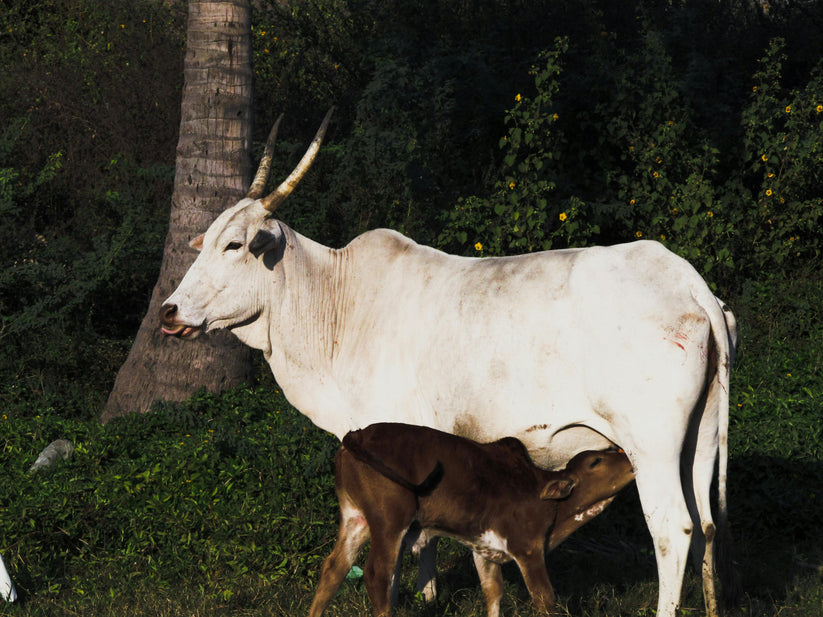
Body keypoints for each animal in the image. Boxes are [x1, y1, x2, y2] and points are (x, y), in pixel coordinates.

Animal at [309, 423, 635, 617]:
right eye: (596, 461)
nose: (631, 459)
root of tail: (357, 434)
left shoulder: (484, 550)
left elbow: (493, 592)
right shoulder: (527, 548)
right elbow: (544, 597)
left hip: (355, 517)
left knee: (334, 568)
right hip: (389, 518)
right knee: (376, 573)